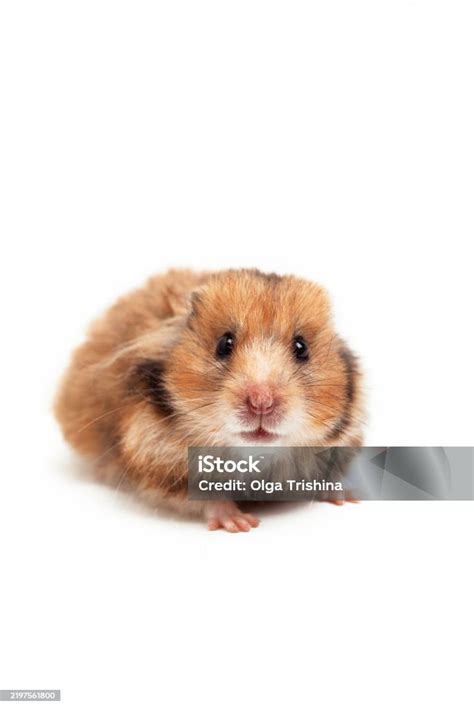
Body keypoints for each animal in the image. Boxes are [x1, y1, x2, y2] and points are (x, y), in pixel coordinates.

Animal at [55, 269, 365, 532]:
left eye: (301, 348)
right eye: (224, 344)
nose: (261, 403)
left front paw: (349, 496)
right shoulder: (158, 463)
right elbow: (205, 497)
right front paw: (241, 524)